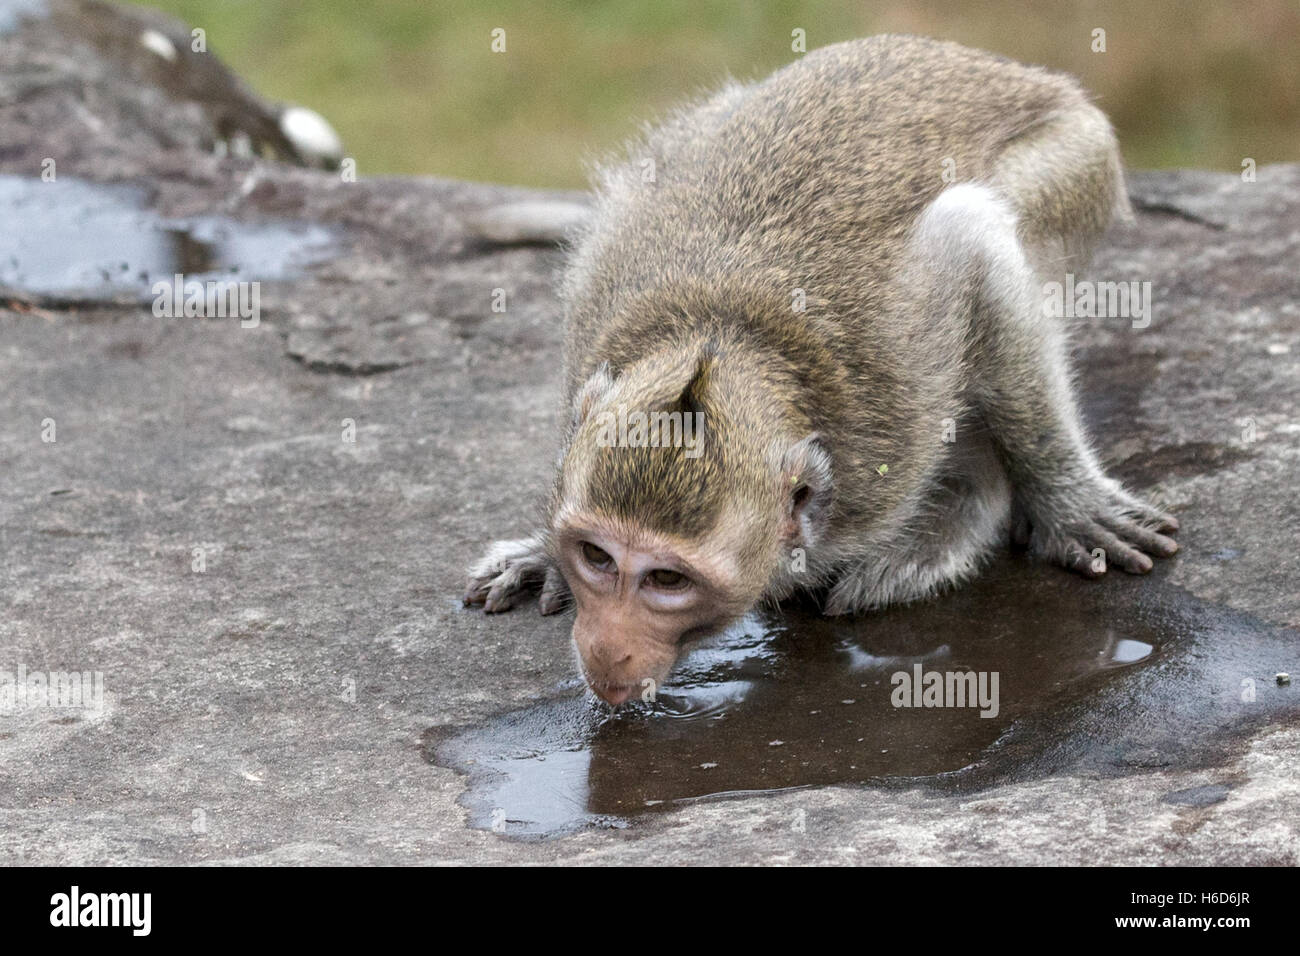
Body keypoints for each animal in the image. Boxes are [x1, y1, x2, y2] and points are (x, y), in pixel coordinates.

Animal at [464, 35, 1180, 706]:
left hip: (1074, 165)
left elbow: (972, 242)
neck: (726, 338)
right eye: (596, 556)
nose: (607, 650)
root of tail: (1010, 70)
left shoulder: (898, 397)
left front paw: (1068, 501)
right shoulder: (599, 296)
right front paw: (541, 551)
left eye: (668, 580)